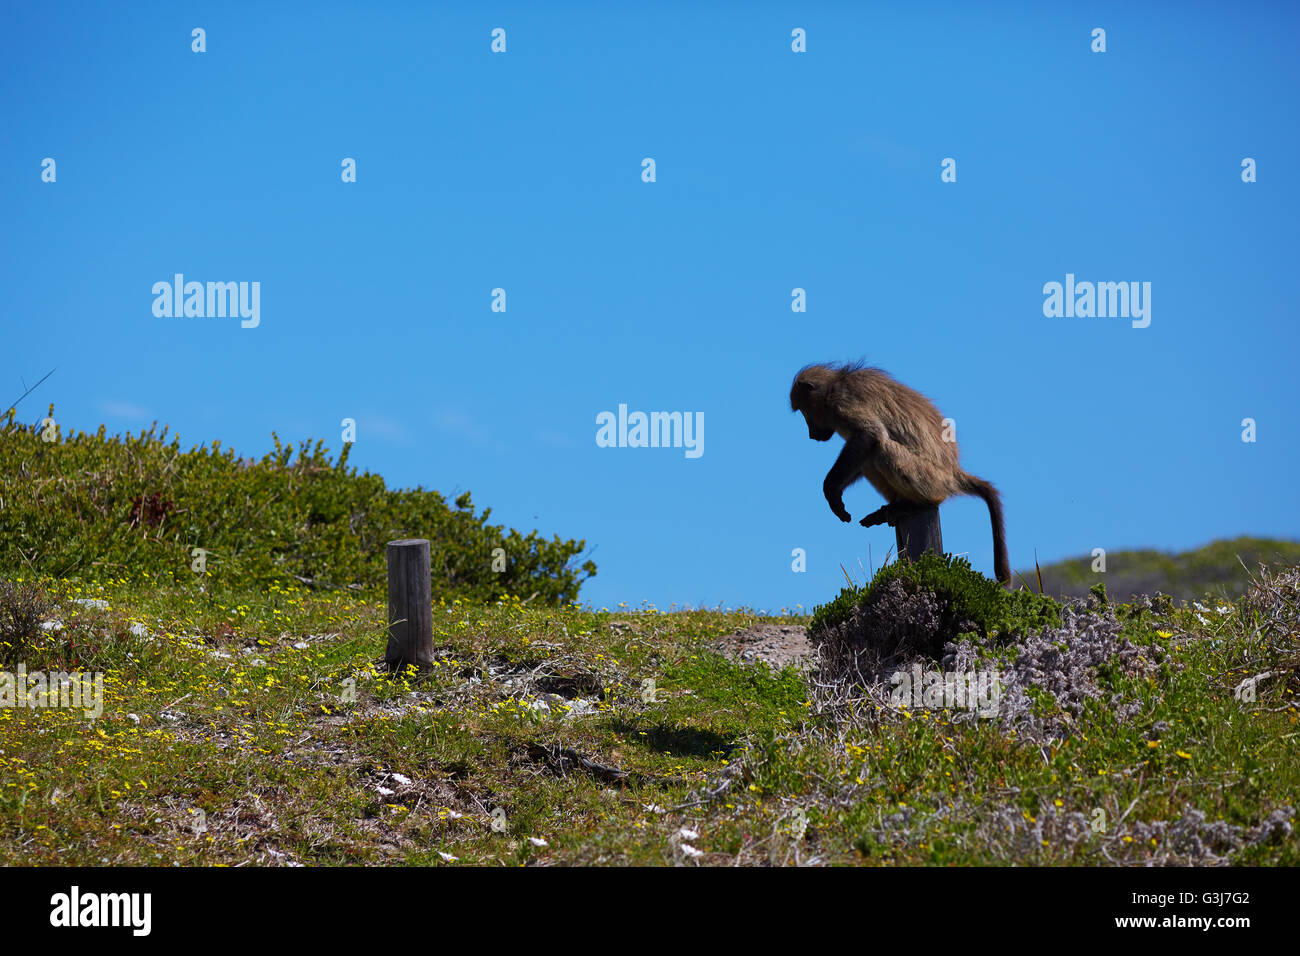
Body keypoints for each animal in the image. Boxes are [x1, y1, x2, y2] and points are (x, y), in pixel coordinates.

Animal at [790, 362, 1010, 585]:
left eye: (804, 412)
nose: (811, 435)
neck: (833, 387)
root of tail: (953, 472)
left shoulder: (843, 403)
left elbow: (869, 434)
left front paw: (831, 490)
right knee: (870, 457)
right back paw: (892, 508)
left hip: (930, 477)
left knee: (881, 447)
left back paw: (917, 504)